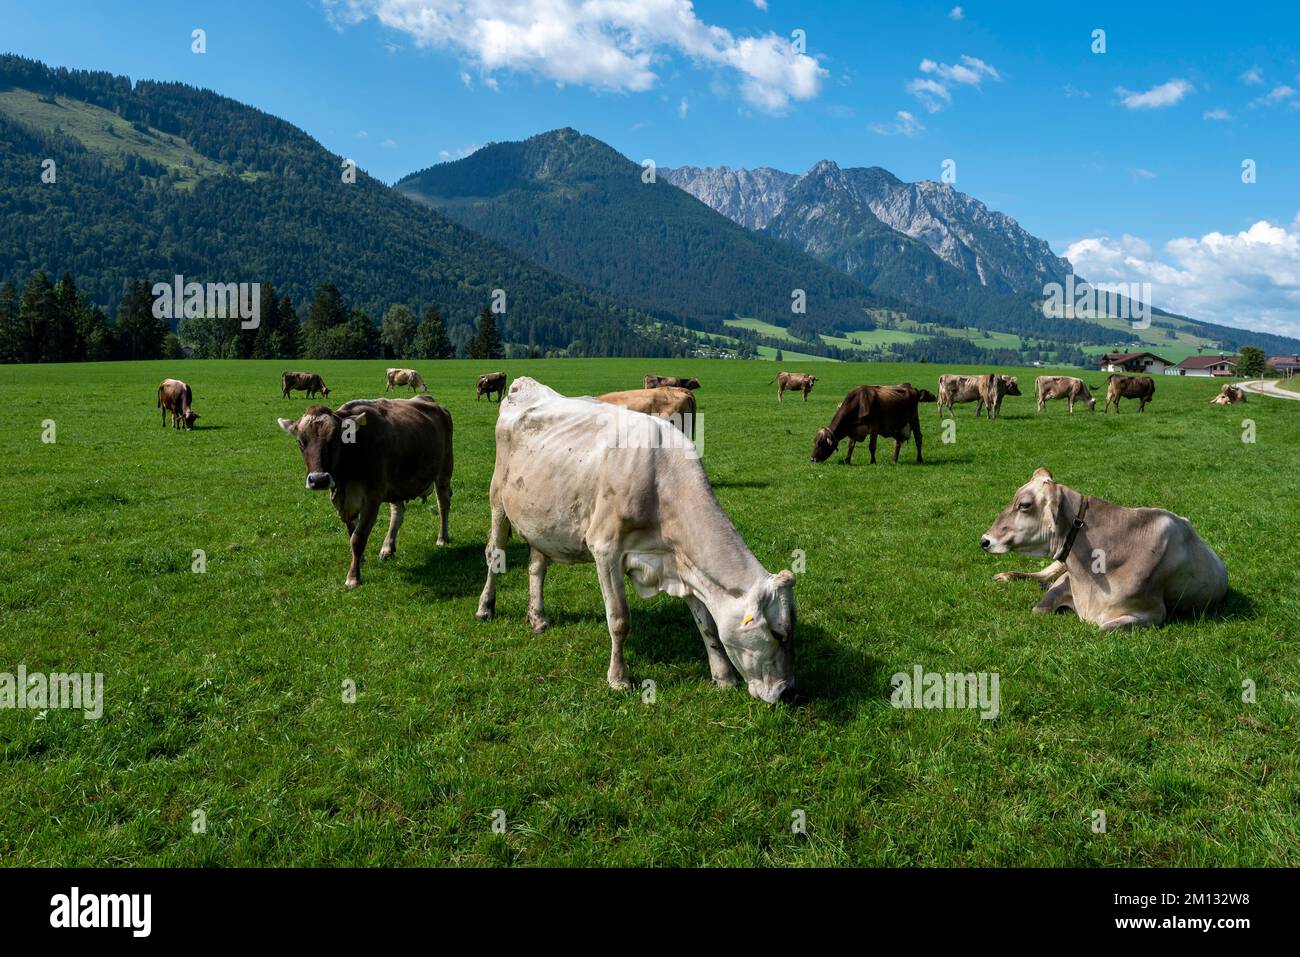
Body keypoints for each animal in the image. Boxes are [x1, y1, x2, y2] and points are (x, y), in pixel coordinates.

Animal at [277, 396, 453, 589]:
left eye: (336, 441)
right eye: (300, 442)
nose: (319, 479)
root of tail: (431, 401)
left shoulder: (372, 497)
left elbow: (358, 538)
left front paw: (353, 577)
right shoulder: (345, 501)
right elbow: (351, 532)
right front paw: (360, 560)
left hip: (444, 469)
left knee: (443, 504)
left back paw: (442, 538)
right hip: (395, 484)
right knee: (397, 513)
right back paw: (387, 547)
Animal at [475, 378, 795, 703]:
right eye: (779, 634)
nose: (787, 691)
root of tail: (524, 385)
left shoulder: (683, 562)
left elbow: (707, 624)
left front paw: (723, 676)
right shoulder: (606, 550)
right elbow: (619, 620)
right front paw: (618, 678)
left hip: (540, 520)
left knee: (537, 566)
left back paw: (538, 617)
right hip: (498, 501)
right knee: (494, 554)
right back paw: (485, 607)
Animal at [981, 468, 1228, 631]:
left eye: (1024, 505)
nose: (984, 540)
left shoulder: (1152, 613)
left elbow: (1102, 629)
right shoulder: (1067, 579)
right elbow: (1039, 608)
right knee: (1041, 574)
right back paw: (1006, 576)